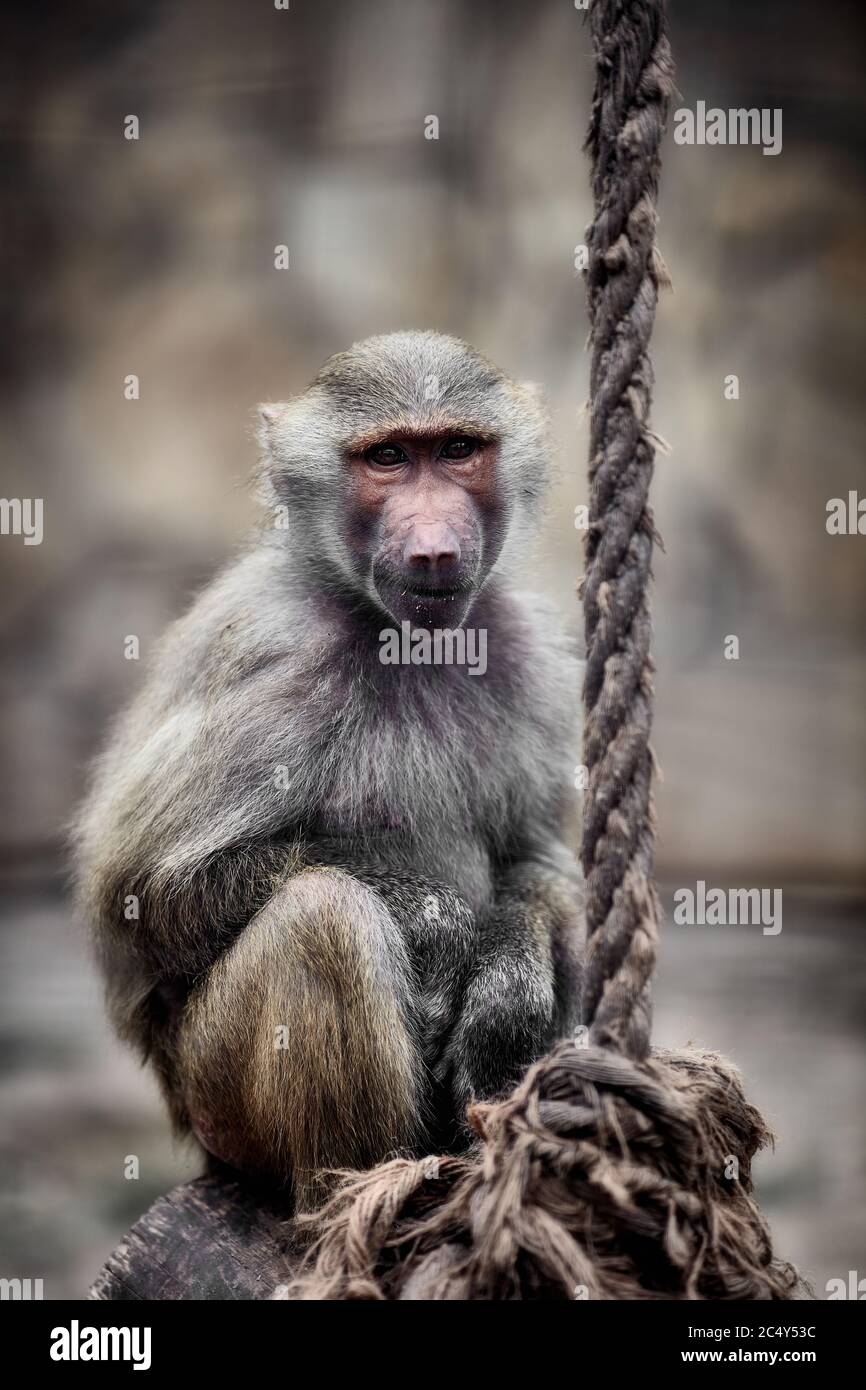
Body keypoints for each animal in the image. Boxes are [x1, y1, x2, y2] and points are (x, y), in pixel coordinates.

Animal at [74, 331, 584, 1210]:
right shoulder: (273, 652)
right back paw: (360, 1197)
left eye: (457, 451)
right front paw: (442, 929)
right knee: (322, 916)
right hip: (217, 1104)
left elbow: (538, 860)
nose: (435, 547)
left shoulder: (527, 649)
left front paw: (509, 979)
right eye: (387, 458)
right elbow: (140, 893)